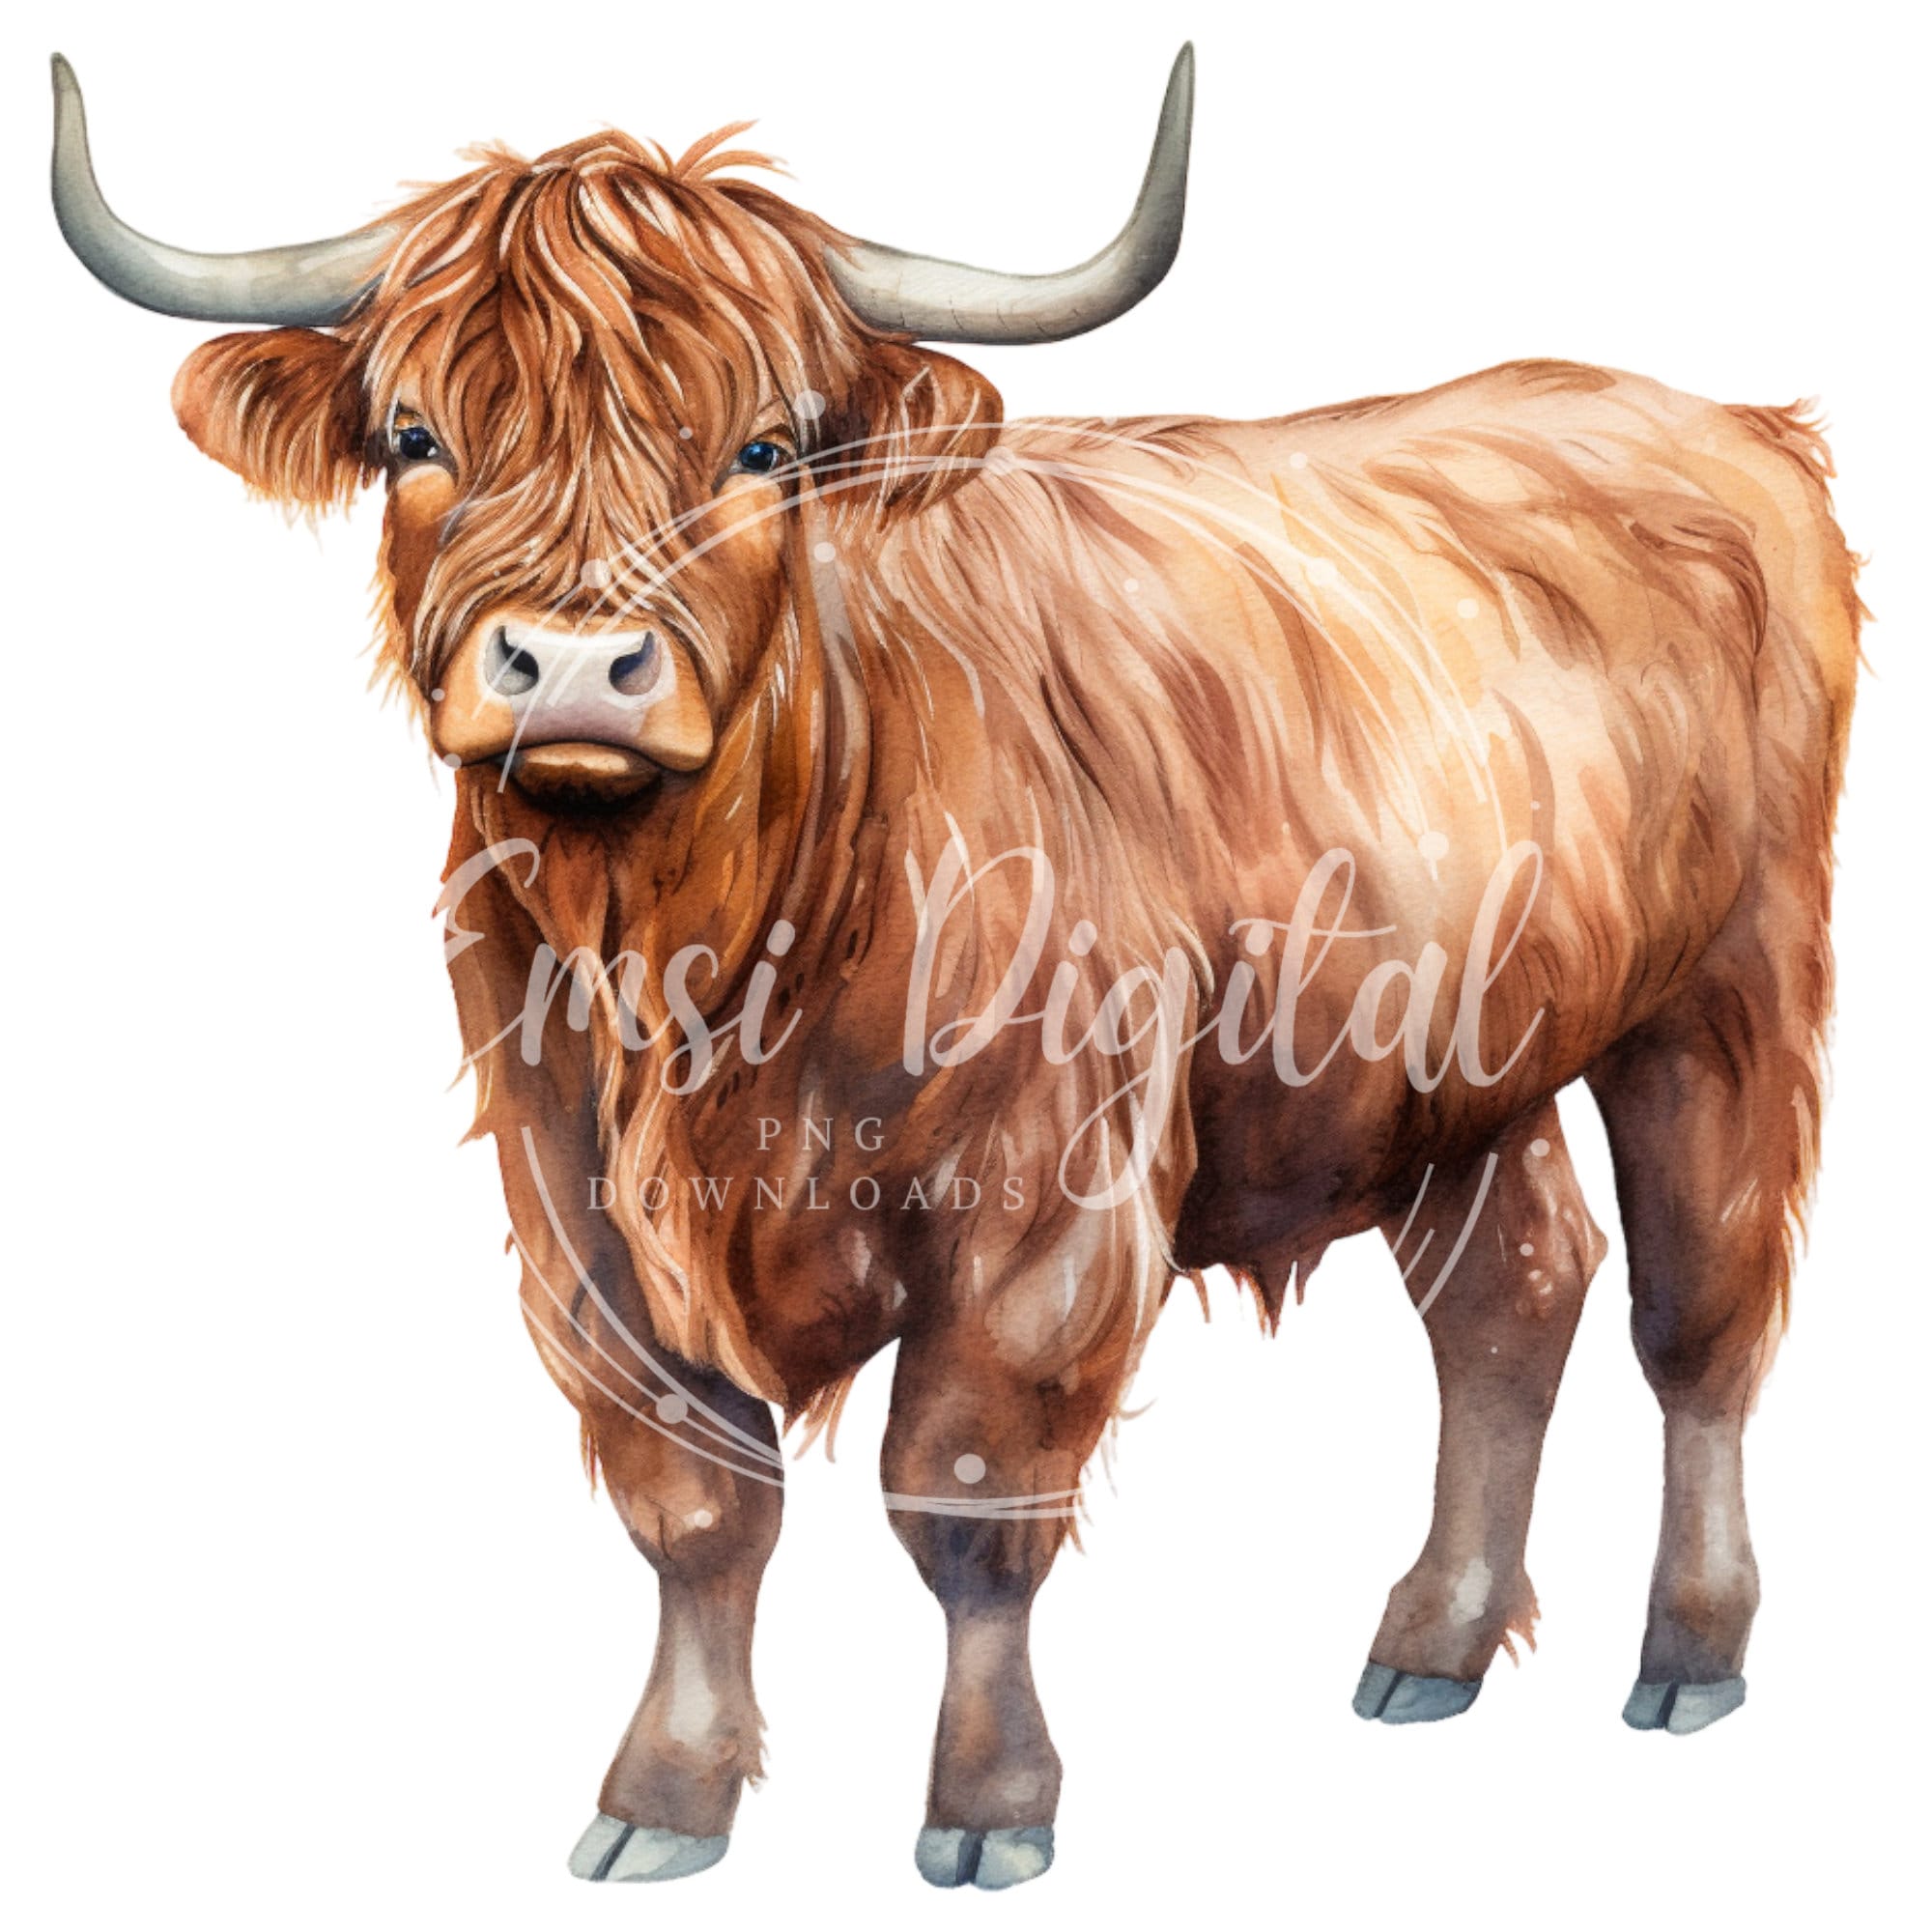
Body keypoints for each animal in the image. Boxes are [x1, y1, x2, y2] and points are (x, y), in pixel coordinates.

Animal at [50, 44, 1860, 1891]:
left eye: (768, 446)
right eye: (415, 435)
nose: (569, 665)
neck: (708, 961)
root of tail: (1720, 424)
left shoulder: (1045, 1203)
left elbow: (967, 1491)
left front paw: (990, 1806)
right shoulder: (576, 1202)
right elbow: (694, 1505)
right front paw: (664, 1797)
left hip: (1728, 989)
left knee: (1698, 1308)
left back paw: (1691, 1652)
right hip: (1446, 1065)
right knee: (1516, 1292)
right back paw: (1431, 1643)